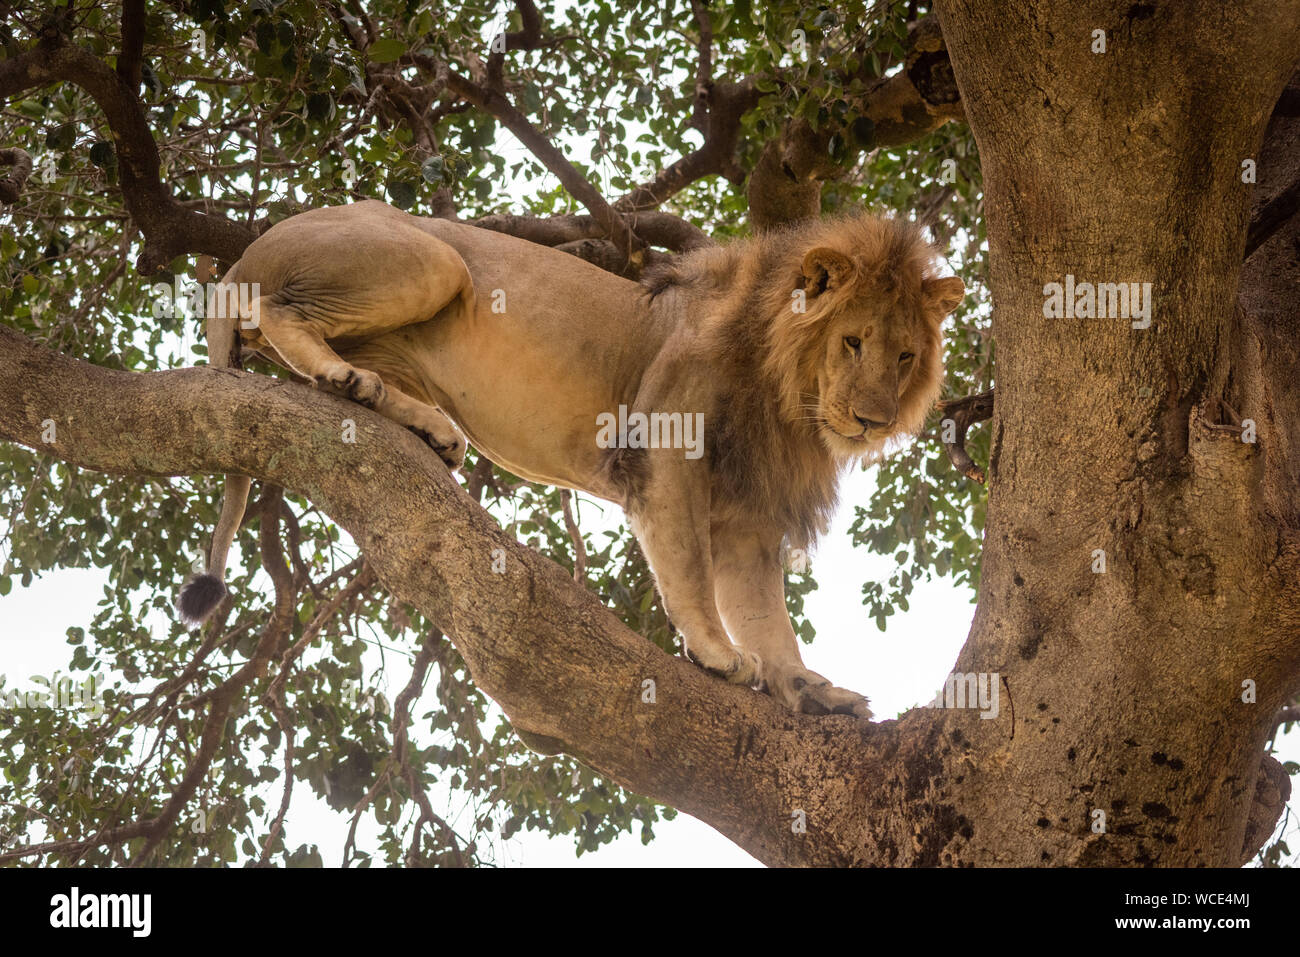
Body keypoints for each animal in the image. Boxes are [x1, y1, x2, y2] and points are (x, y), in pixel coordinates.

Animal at [178, 200, 964, 719]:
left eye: (905, 356)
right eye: (852, 342)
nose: (874, 420)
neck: (787, 394)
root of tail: (243, 254)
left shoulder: (747, 517)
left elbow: (768, 614)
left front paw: (808, 689)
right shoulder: (663, 448)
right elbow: (690, 571)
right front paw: (715, 654)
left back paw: (416, 420)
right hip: (434, 261)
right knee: (283, 312)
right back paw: (347, 379)